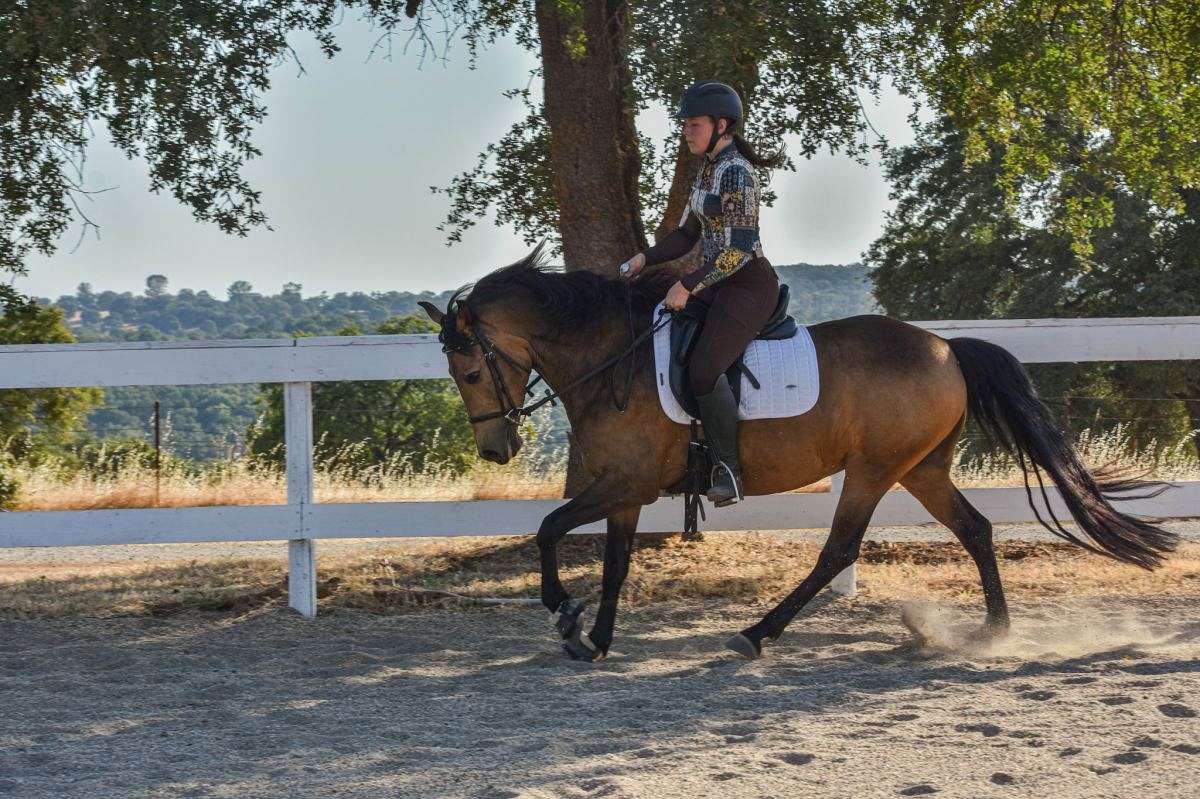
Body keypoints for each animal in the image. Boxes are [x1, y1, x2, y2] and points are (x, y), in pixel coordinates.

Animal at [418, 244, 1178, 661]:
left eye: (472, 369)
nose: (497, 448)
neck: (615, 359)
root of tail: (944, 347)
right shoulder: (623, 490)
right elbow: (612, 565)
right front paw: (593, 637)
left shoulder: (626, 483)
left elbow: (549, 528)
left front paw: (561, 611)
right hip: (920, 470)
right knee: (976, 529)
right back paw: (993, 630)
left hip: (873, 471)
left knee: (839, 551)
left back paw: (757, 633)